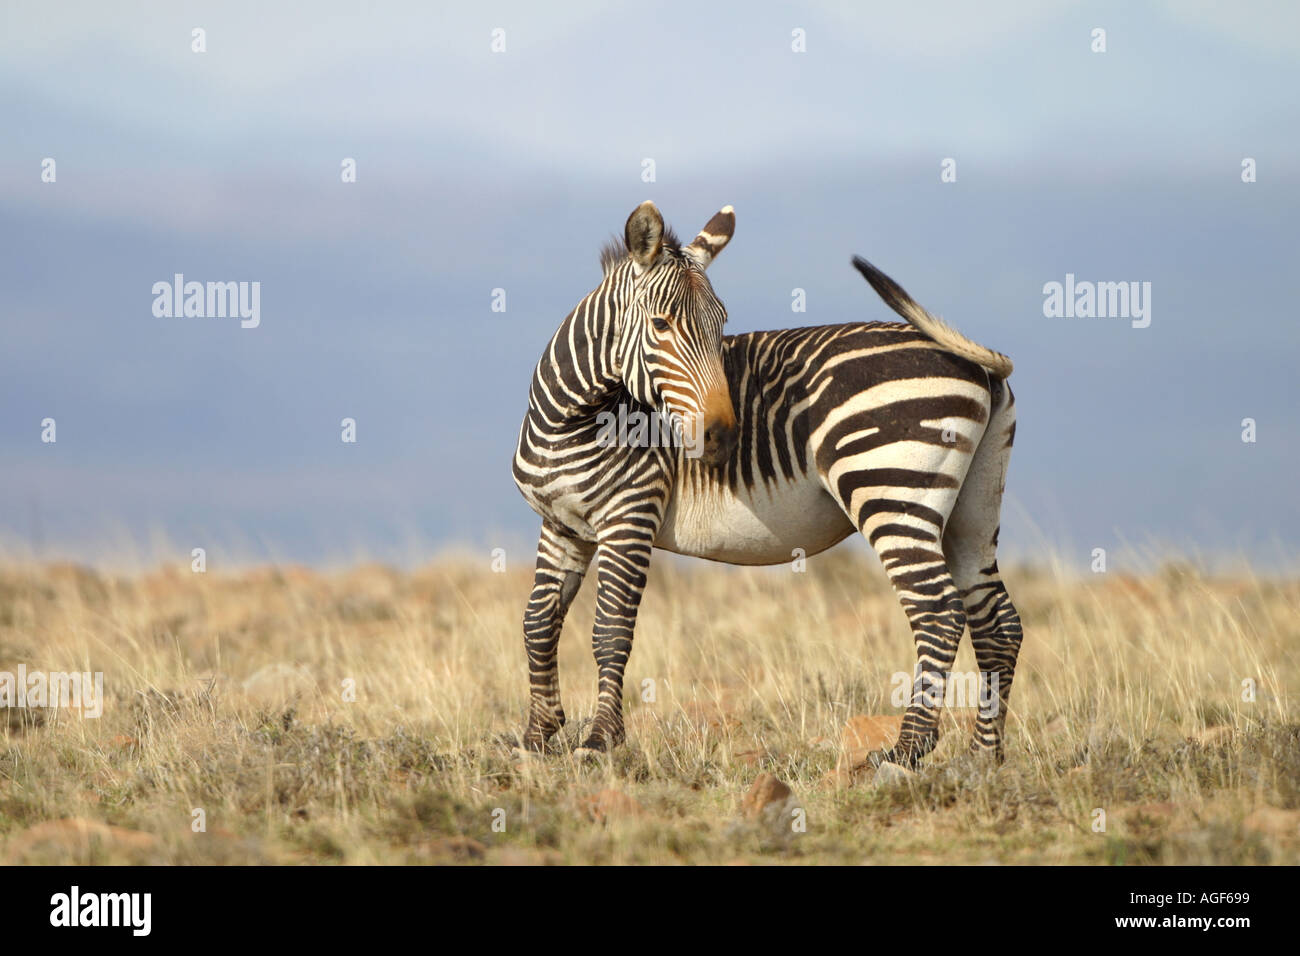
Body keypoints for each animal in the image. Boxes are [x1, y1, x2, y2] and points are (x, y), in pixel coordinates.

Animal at [512, 201, 1023, 769]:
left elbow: (610, 630)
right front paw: (537, 736)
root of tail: (979, 367)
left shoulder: (630, 517)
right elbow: (538, 623)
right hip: (974, 507)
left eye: (721, 326)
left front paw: (599, 740)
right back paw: (984, 757)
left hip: (889, 488)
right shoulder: (561, 525)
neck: (570, 422)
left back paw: (905, 751)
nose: (723, 436)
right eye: (661, 325)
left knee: (937, 612)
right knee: (997, 620)